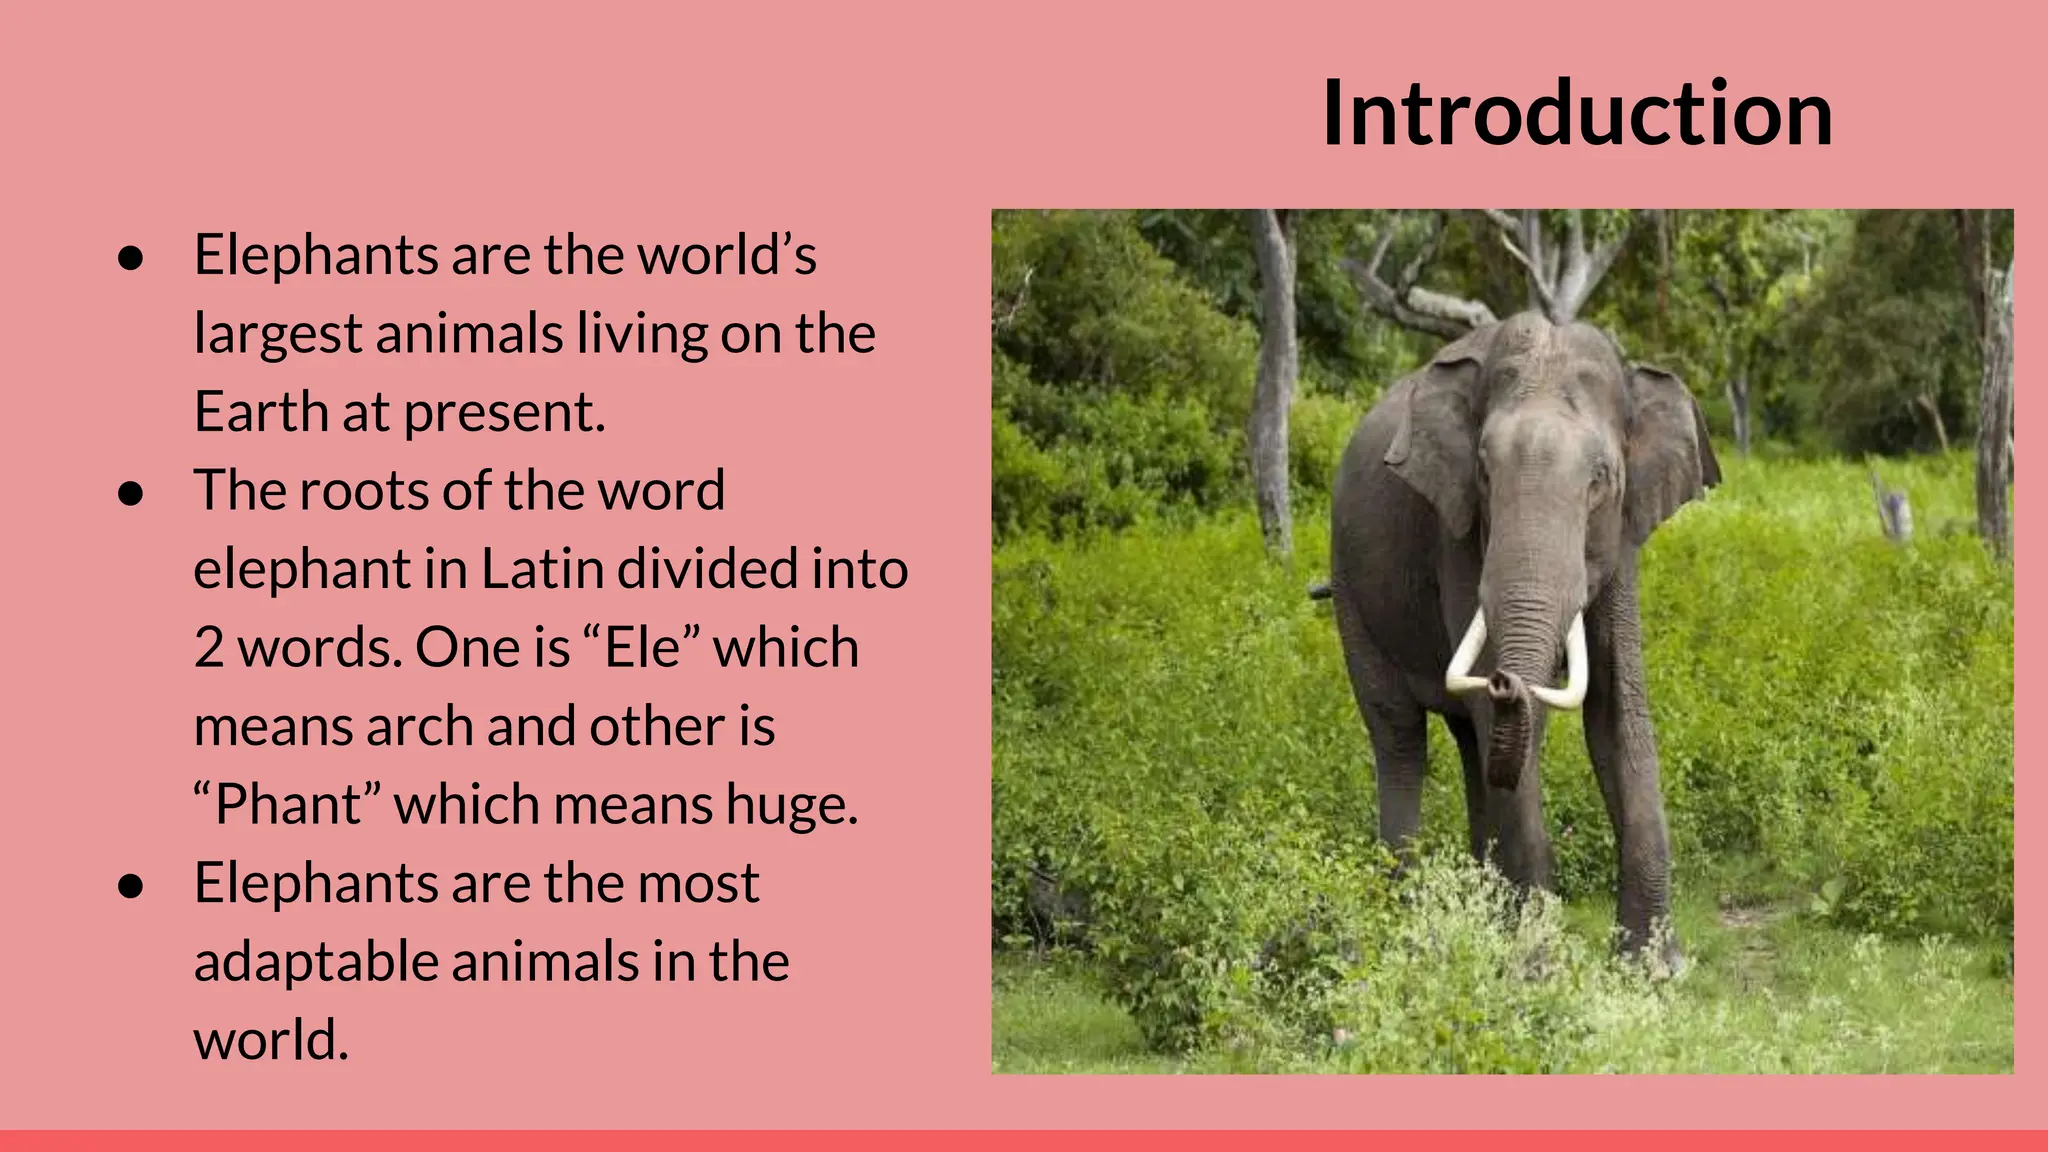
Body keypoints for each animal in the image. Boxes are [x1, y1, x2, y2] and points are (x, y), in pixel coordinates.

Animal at [1325, 310, 1718, 968]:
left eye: (1600, 480)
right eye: (1485, 473)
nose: (1507, 678)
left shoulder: (1622, 540)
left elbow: (1616, 710)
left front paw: (1654, 969)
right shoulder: (1455, 532)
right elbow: (1507, 727)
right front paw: (1536, 967)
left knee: (1469, 746)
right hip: (1350, 587)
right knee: (1400, 738)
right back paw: (1405, 920)